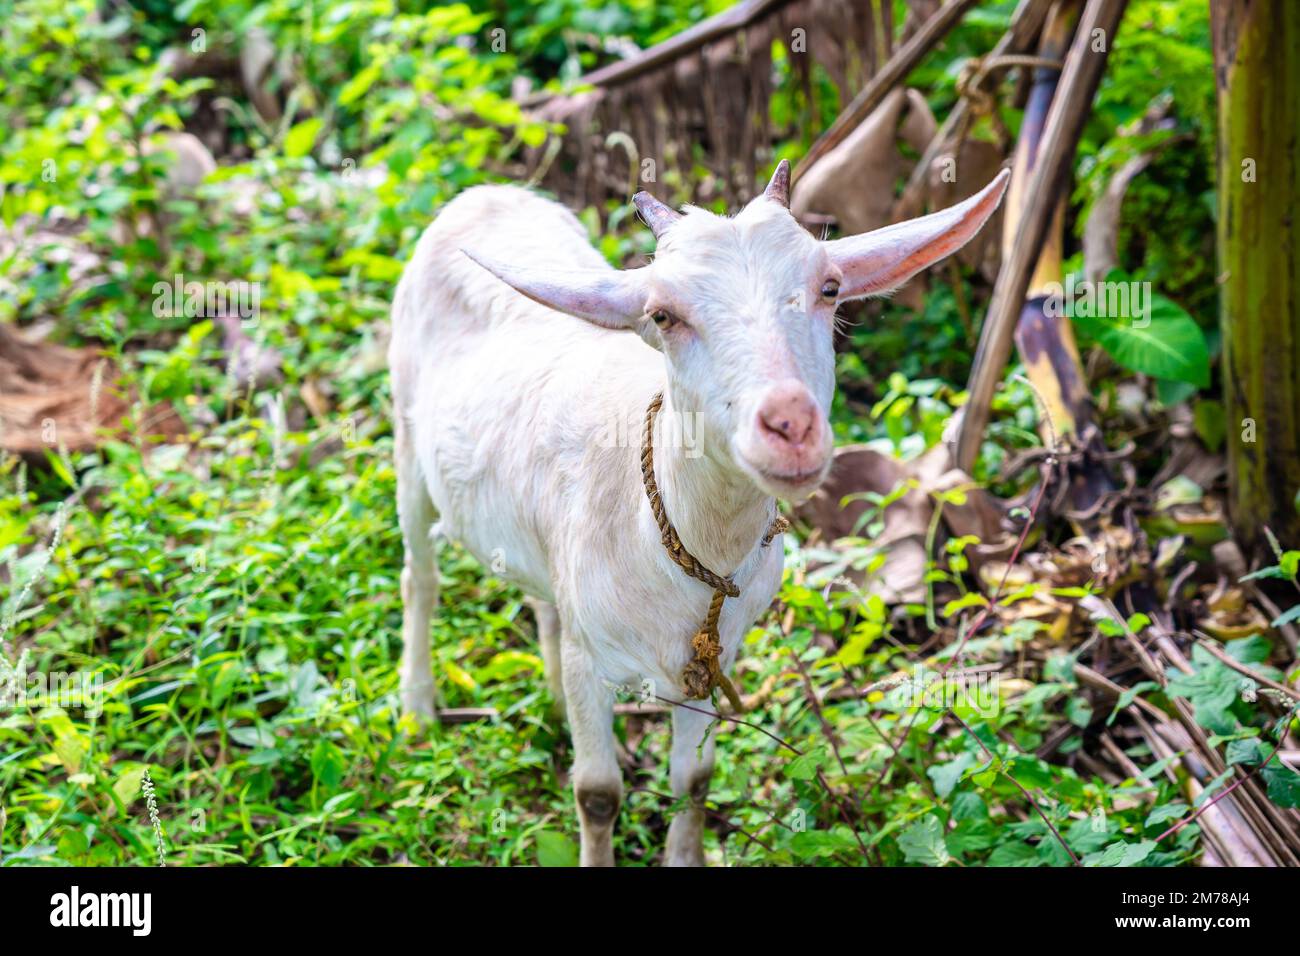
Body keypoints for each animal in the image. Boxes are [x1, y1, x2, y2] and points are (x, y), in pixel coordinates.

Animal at [388, 162, 1008, 866]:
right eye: (662, 314)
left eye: (829, 287)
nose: (790, 424)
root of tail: (490, 194)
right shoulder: (591, 659)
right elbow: (596, 794)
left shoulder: (712, 661)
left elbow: (695, 779)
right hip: (406, 443)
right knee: (419, 577)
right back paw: (417, 708)